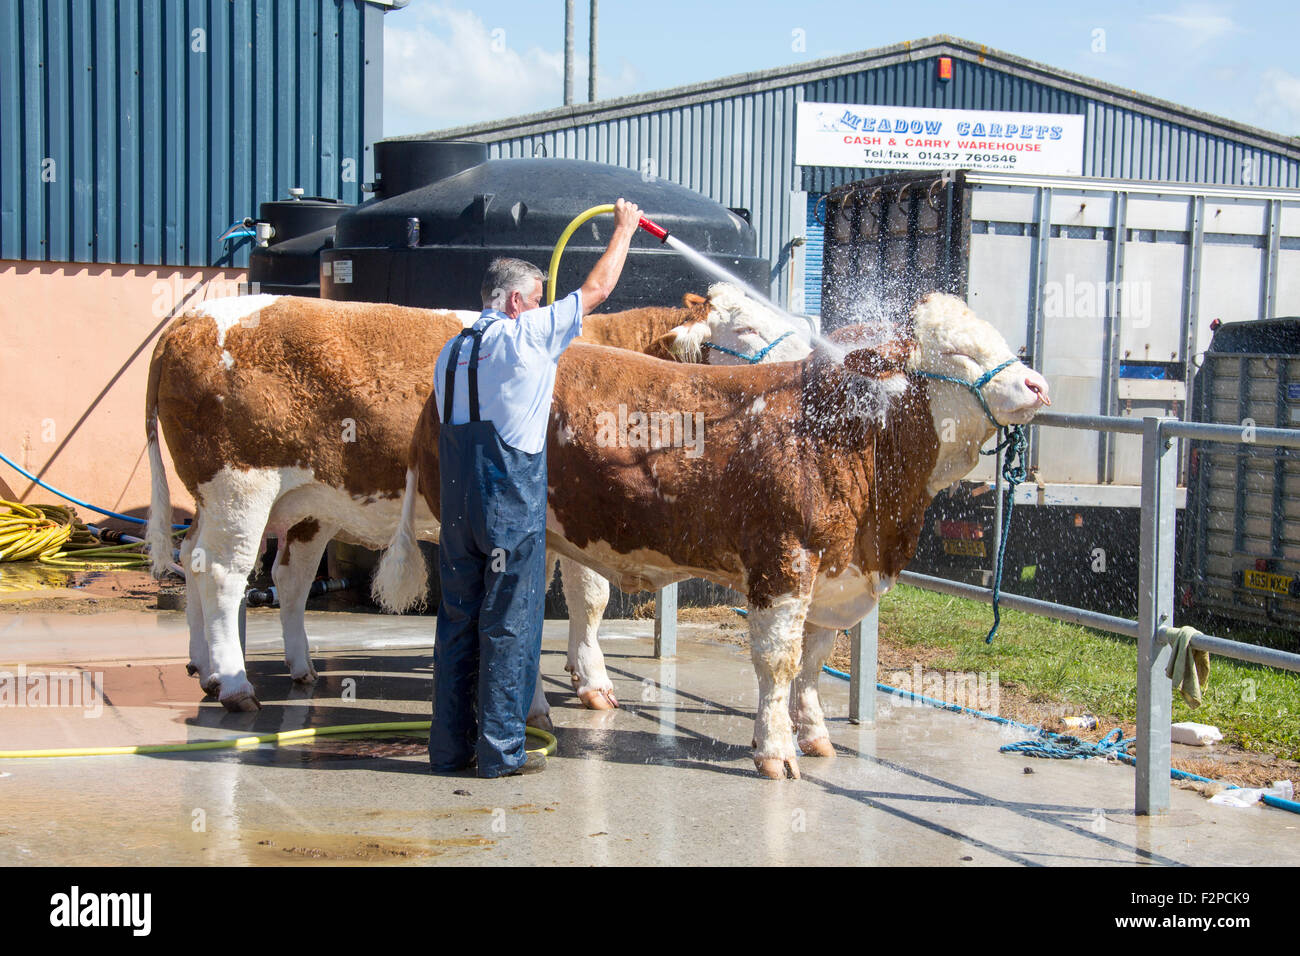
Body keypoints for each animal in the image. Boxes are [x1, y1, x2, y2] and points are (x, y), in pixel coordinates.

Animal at [143, 289, 775, 713]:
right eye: (743, 328)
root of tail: (188, 319)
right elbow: (590, 596)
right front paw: (594, 682)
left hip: (294, 502)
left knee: (249, 571)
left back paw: (245, 668)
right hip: (238, 485)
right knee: (223, 572)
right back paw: (234, 683)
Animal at [374, 292, 1051, 779]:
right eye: (957, 351)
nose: (1038, 385)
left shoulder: (835, 572)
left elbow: (812, 662)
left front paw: (814, 734)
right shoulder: (783, 562)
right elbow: (779, 662)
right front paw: (776, 750)